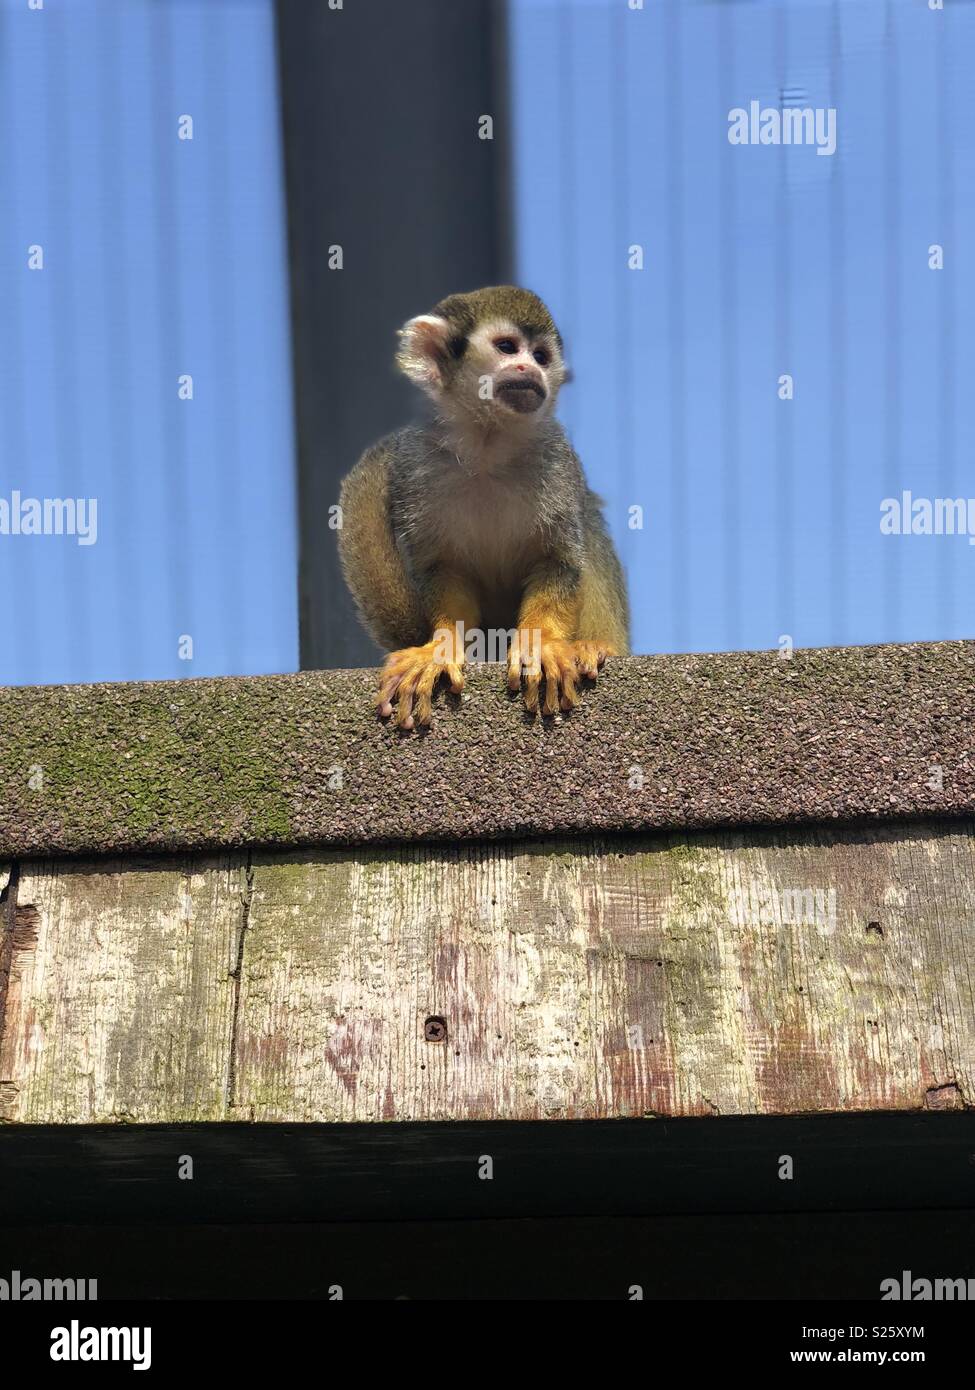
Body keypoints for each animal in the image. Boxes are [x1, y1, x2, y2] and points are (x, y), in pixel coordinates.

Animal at [337, 286, 630, 730]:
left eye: (541, 356)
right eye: (507, 347)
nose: (530, 369)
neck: (488, 444)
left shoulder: (557, 460)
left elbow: (559, 561)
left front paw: (542, 644)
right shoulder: (416, 465)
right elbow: (444, 570)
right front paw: (440, 647)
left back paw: (594, 646)